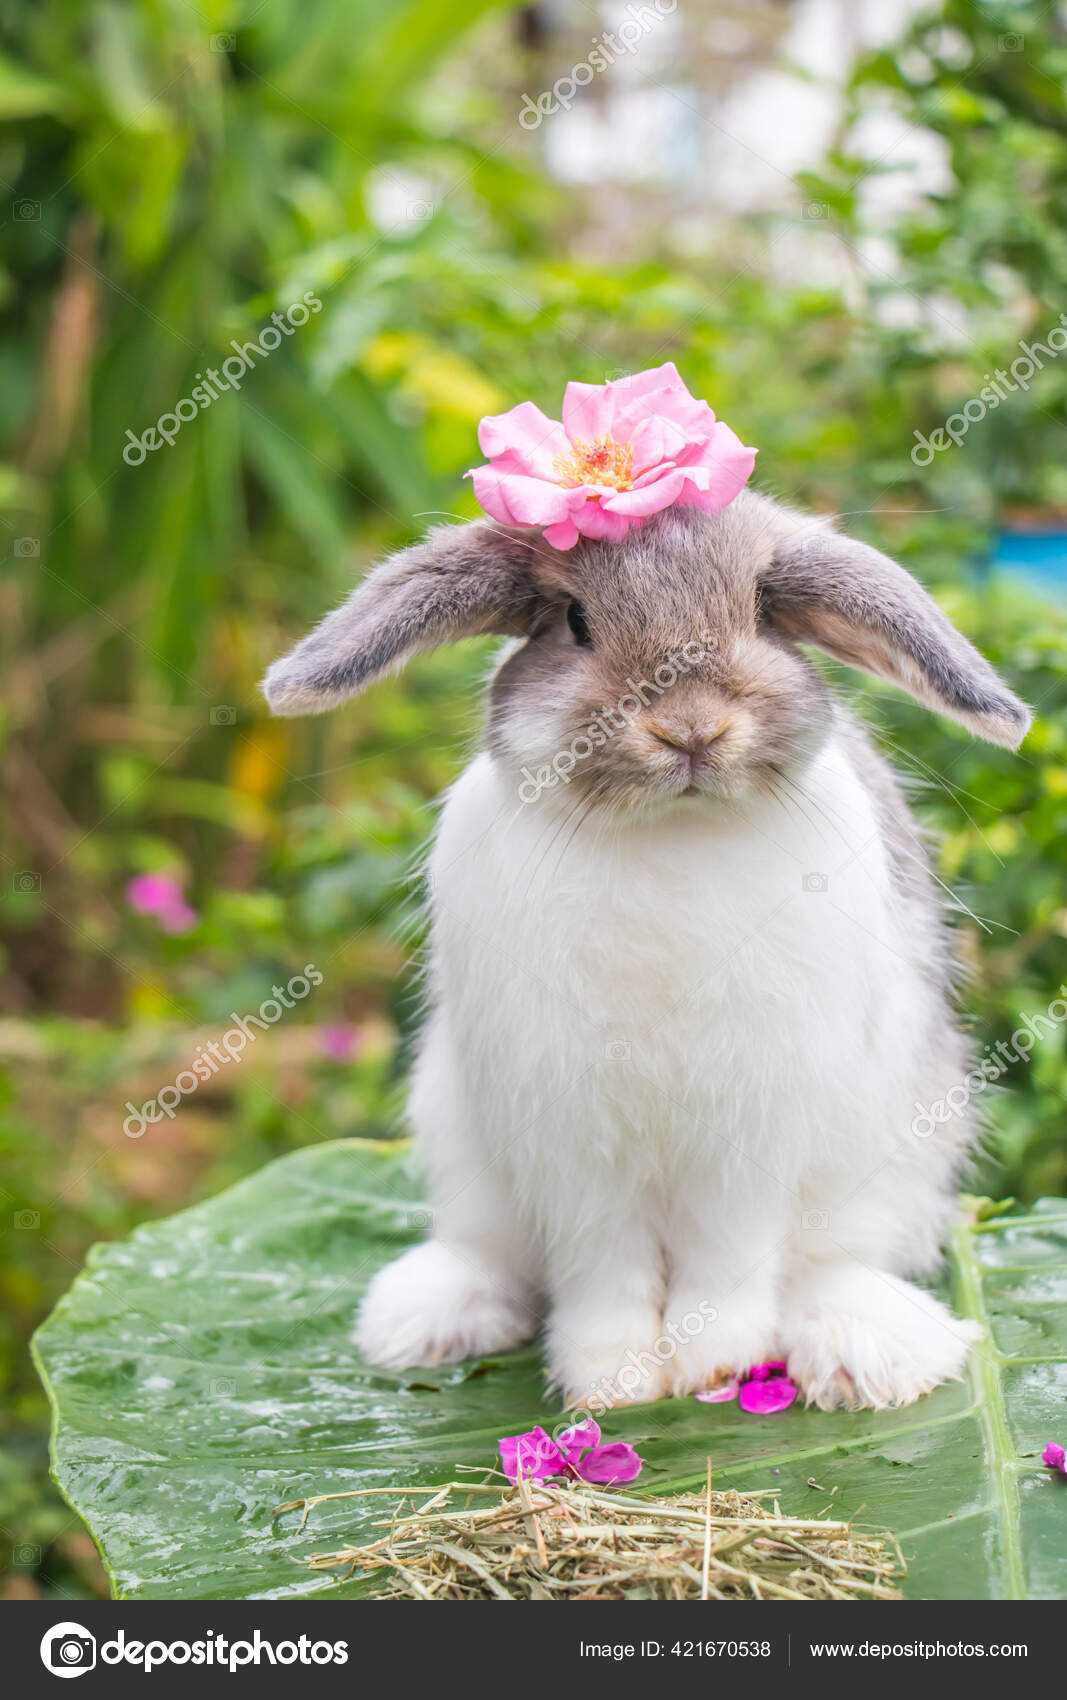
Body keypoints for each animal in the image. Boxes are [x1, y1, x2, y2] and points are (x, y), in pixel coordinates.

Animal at [263, 489, 1030, 1412]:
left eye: (762, 613)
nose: (689, 728)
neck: (670, 829)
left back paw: (863, 1353)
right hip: (457, 1144)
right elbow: (600, 1267)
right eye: (573, 620)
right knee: (492, 1254)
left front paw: (713, 1362)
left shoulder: (749, 1125)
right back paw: (427, 1320)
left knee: (833, 1265)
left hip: (894, 1158)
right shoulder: (565, 1126)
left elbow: (726, 1258)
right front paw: (612, 1380)